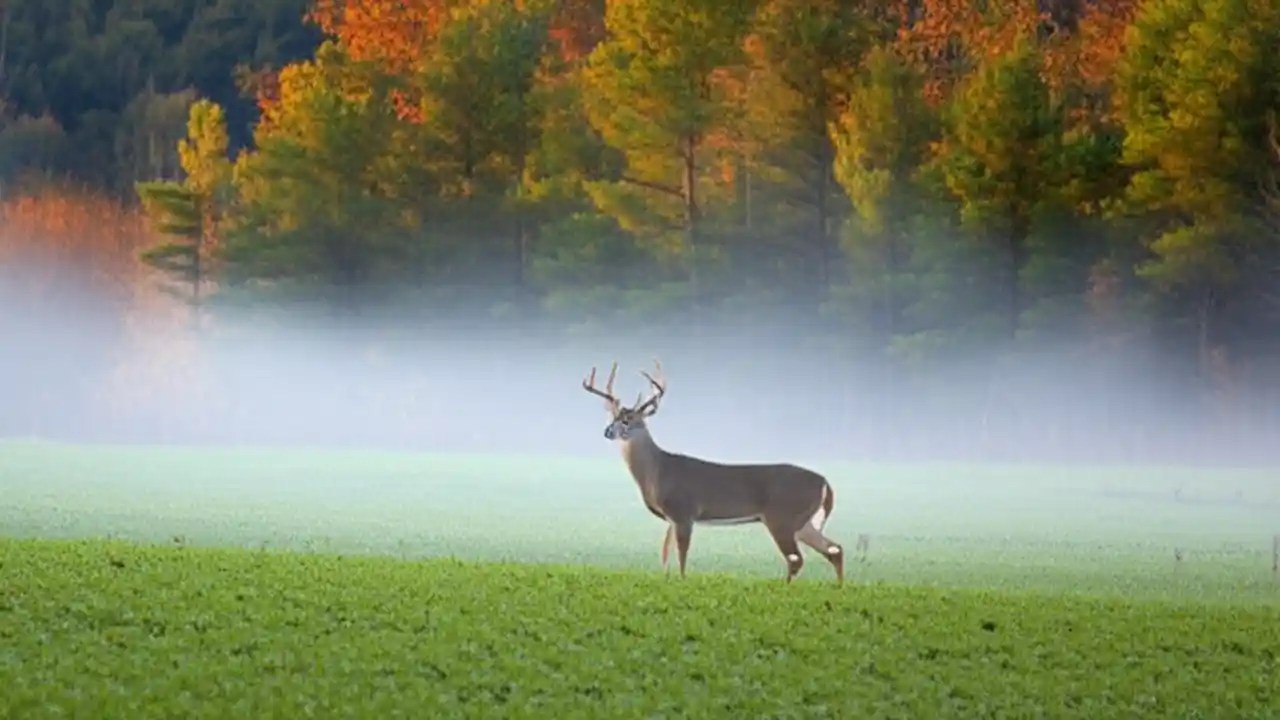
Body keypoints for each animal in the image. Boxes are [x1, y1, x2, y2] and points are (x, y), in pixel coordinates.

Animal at [581, 360, 845, 583]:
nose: (608, 431)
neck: (658, 472)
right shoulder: (671, 518)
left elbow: (681, 554)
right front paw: (666, 580)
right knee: (834, 549)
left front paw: (683, 581)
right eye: (613, 418)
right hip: (802, 521)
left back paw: (786, 588)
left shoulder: (683, 511)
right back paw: (838, 588)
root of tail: (825, 483)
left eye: (629, 421)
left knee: (797, 558)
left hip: (783, 516)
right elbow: (665, 554)